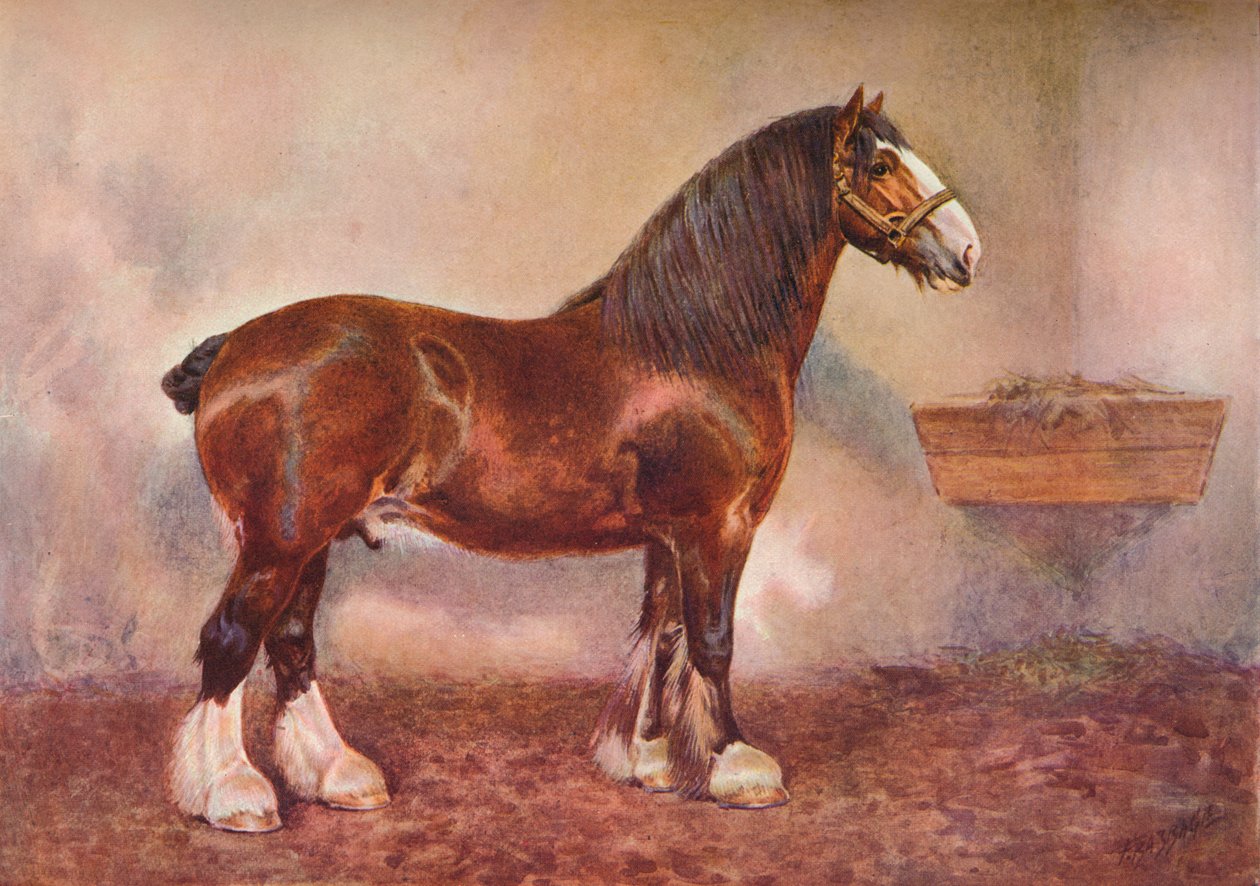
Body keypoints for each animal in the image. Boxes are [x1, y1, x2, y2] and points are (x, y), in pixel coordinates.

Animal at [162, 86, 979, 833]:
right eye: (880, 164)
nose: (968, 251)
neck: (693, 347)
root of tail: (234, 347)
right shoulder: (718, 528)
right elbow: (713, 643)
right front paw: (737, 768)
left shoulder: (668, 537)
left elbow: (662, 637)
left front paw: (650, 760)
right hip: (283, 540)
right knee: (231, 641)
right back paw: (233, 795)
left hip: (314, 540)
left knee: (291, 645)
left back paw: (339, 776)